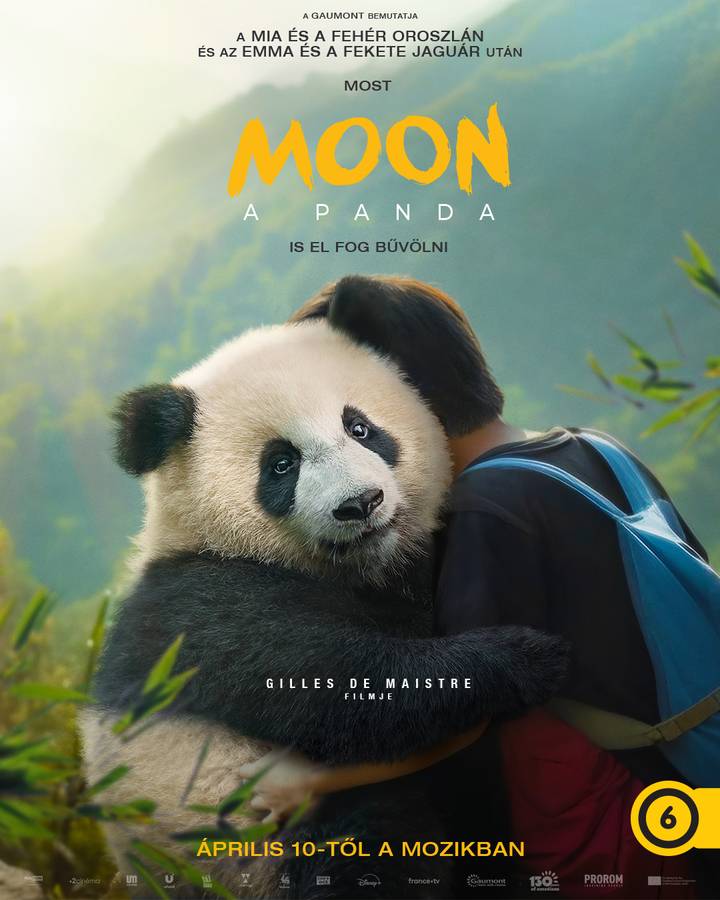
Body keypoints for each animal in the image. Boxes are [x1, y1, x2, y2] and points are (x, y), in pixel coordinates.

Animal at [81, 299, 567, 899]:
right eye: (281, 464)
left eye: (360, 427)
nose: (361, 503)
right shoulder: (203, 605)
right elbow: (338, 683)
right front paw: (526, 657)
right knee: (373, 841)